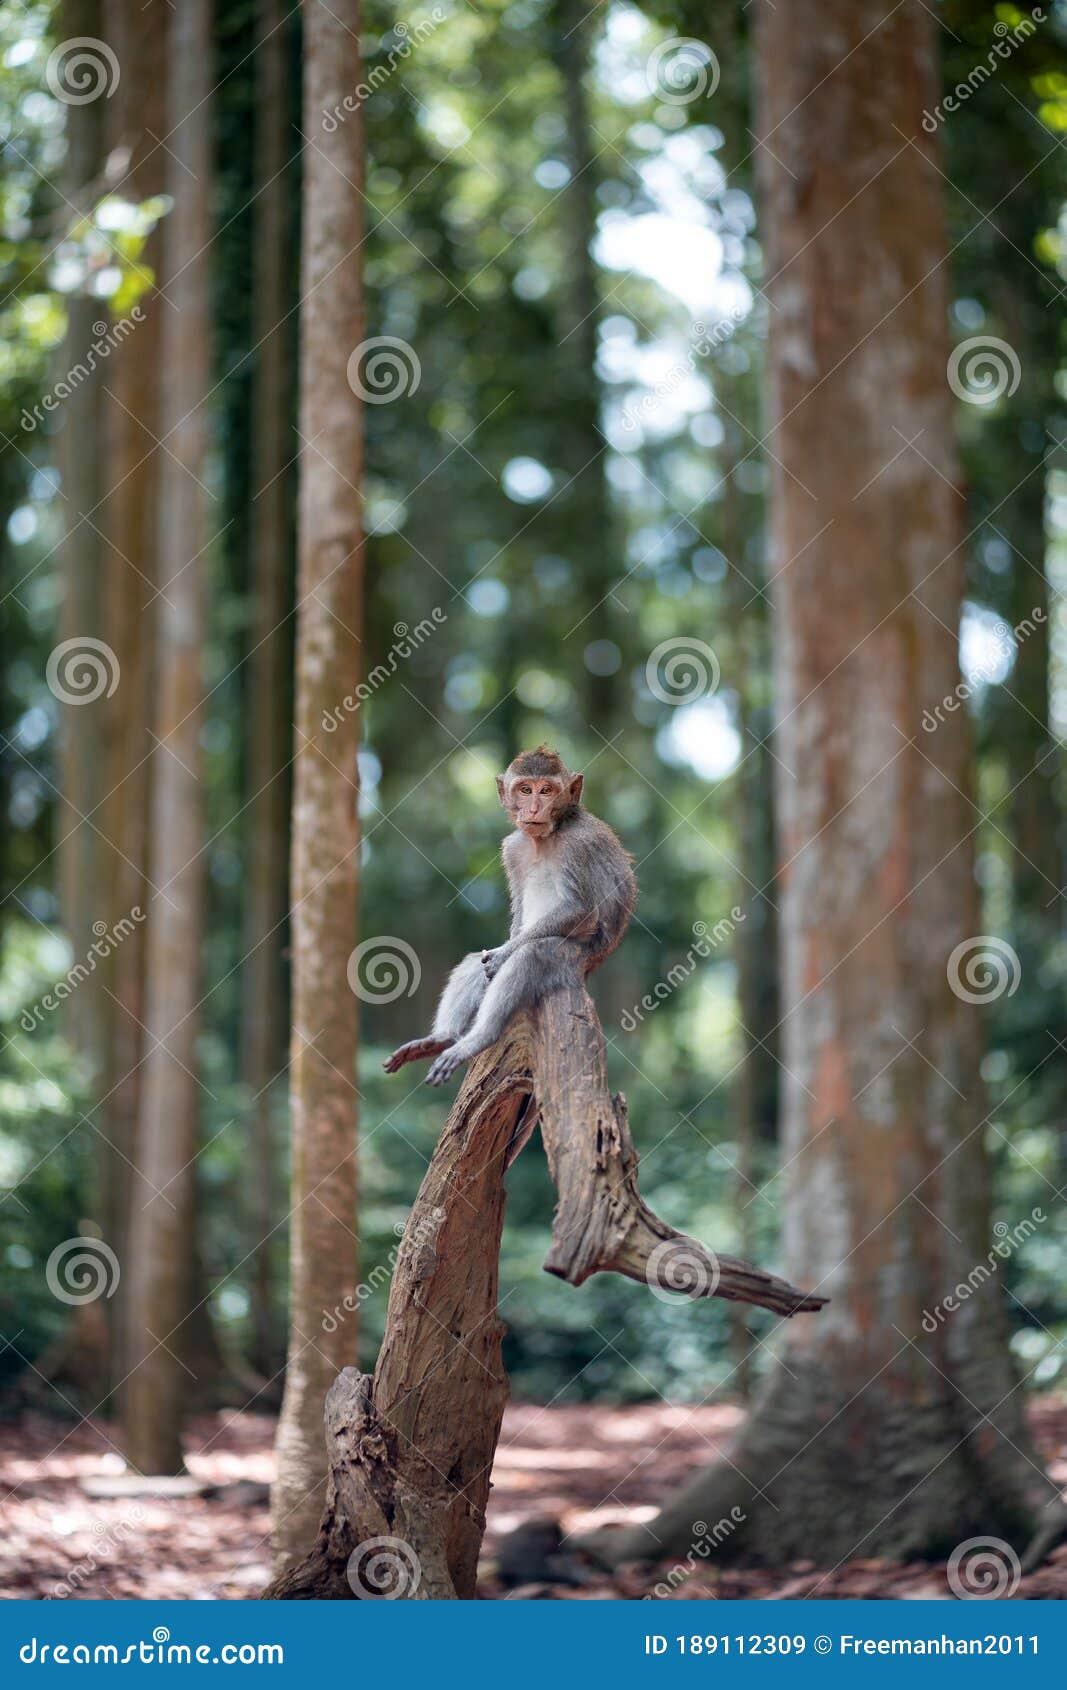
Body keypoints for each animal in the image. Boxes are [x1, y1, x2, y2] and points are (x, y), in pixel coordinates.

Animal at [384, 745, 636, 1087]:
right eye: (526, 790)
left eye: (547, 790)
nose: (533, 808)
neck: (549, 835)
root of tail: (591, 969)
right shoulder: (513, 847)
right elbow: (516, 914)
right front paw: (499, 953)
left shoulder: (578, 846)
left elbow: (581, 911)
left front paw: (504, 955)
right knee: (477, 961)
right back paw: (443, 1038)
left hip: (572, 962)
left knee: (533, 954)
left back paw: (481, 1035)